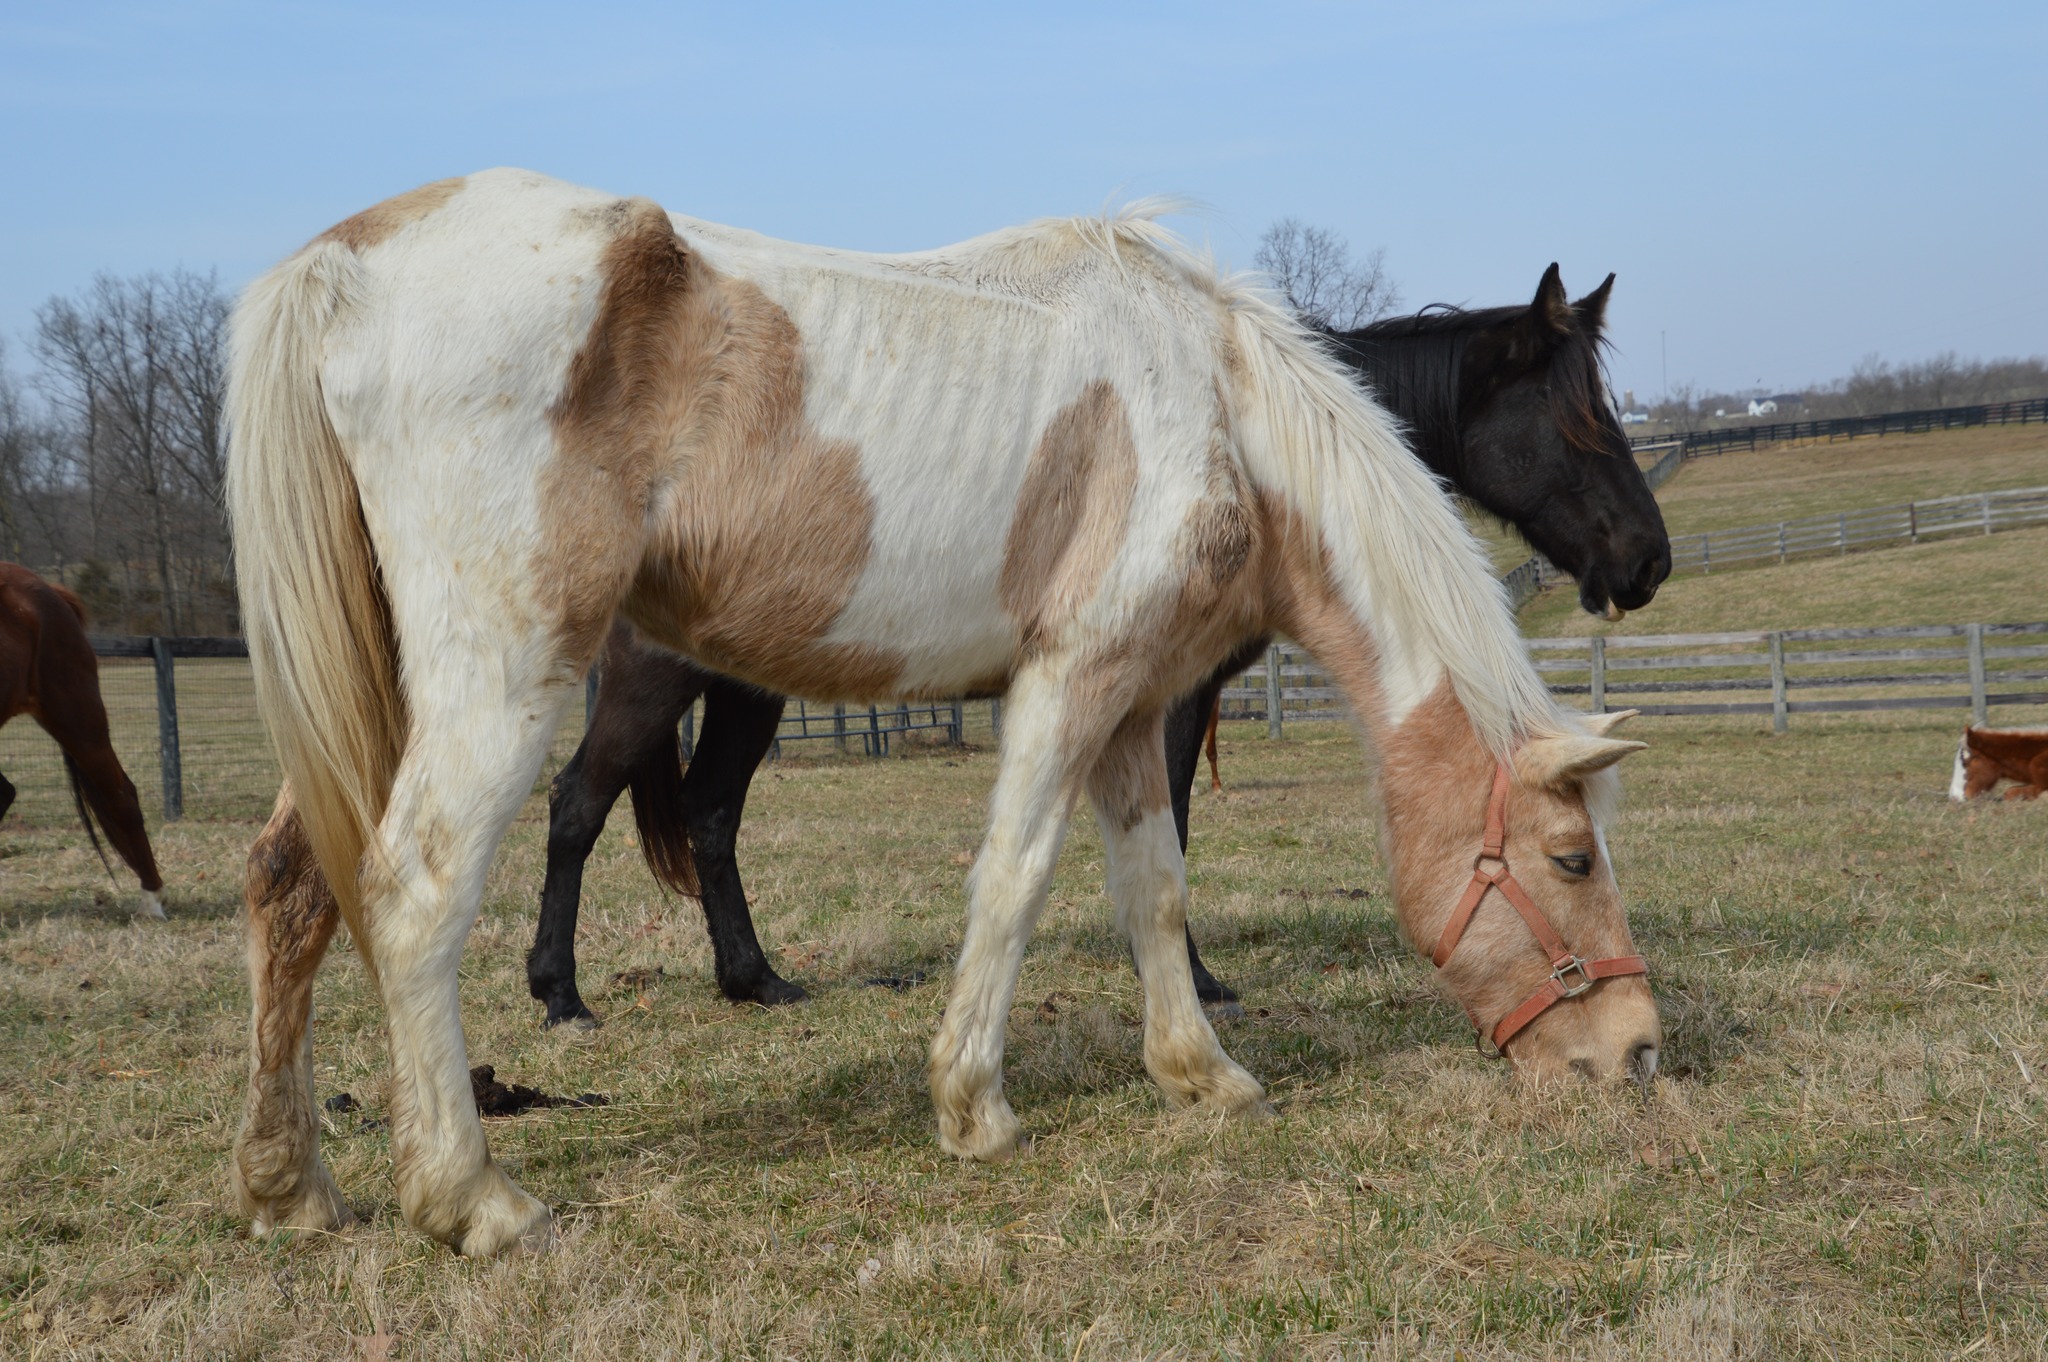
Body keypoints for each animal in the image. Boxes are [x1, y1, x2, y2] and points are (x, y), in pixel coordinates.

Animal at [521, 271, 1667, 1026]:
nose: (1646, 560)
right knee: (578, 805)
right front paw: (1194, 980)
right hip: (653, 685)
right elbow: (1172, 825)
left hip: (747, 691)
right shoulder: (1164, 695)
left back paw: (755, 980)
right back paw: (561, 995)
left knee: (710, 815)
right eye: (1579, 425)